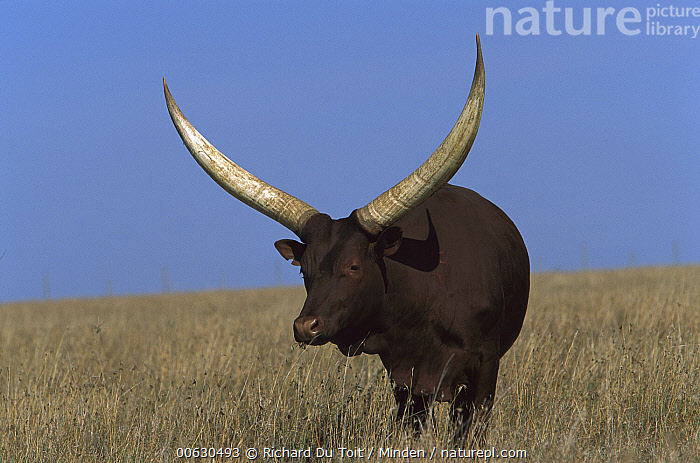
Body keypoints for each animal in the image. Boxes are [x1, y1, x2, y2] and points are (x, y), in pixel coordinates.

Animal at [164, 35, 529, 440]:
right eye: (303, 270)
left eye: (354, 266)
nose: (305, 327)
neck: (426, 294)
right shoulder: (405, 378)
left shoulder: (484, 368)